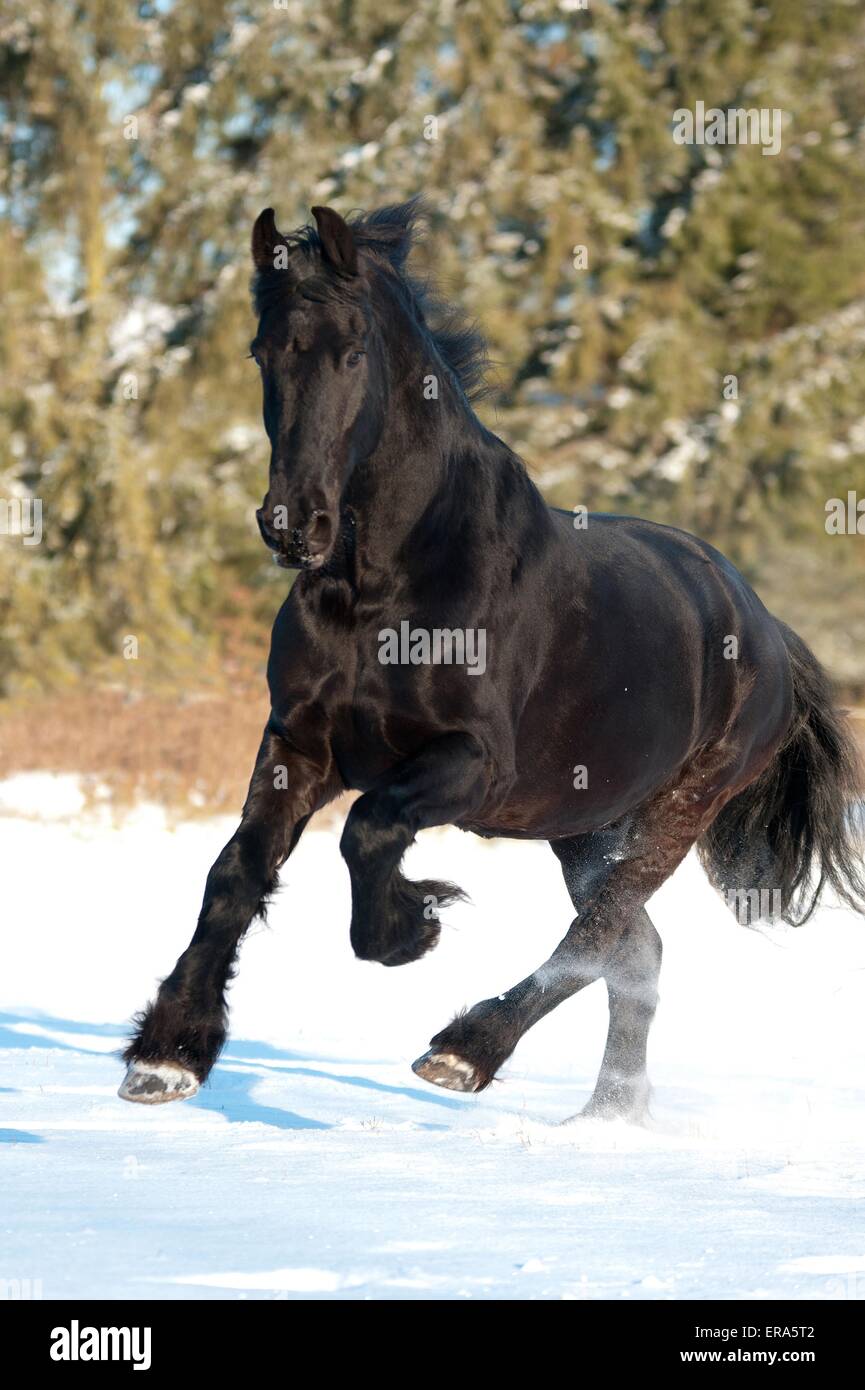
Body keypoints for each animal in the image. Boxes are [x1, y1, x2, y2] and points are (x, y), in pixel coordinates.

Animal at [119, 199, 865, 1117]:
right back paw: (602, 1114)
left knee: (598, 932)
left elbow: (369, 830)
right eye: (263, 351)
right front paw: (168, 1053)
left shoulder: (473, 765)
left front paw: (413, 927)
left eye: (352, 350)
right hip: (581, 822)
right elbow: (234, 872)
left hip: (676, 811)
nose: (293, 526)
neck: (384, 590)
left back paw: (465, 1052)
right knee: (633, 948)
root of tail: (763, 629)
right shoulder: (298, 742)